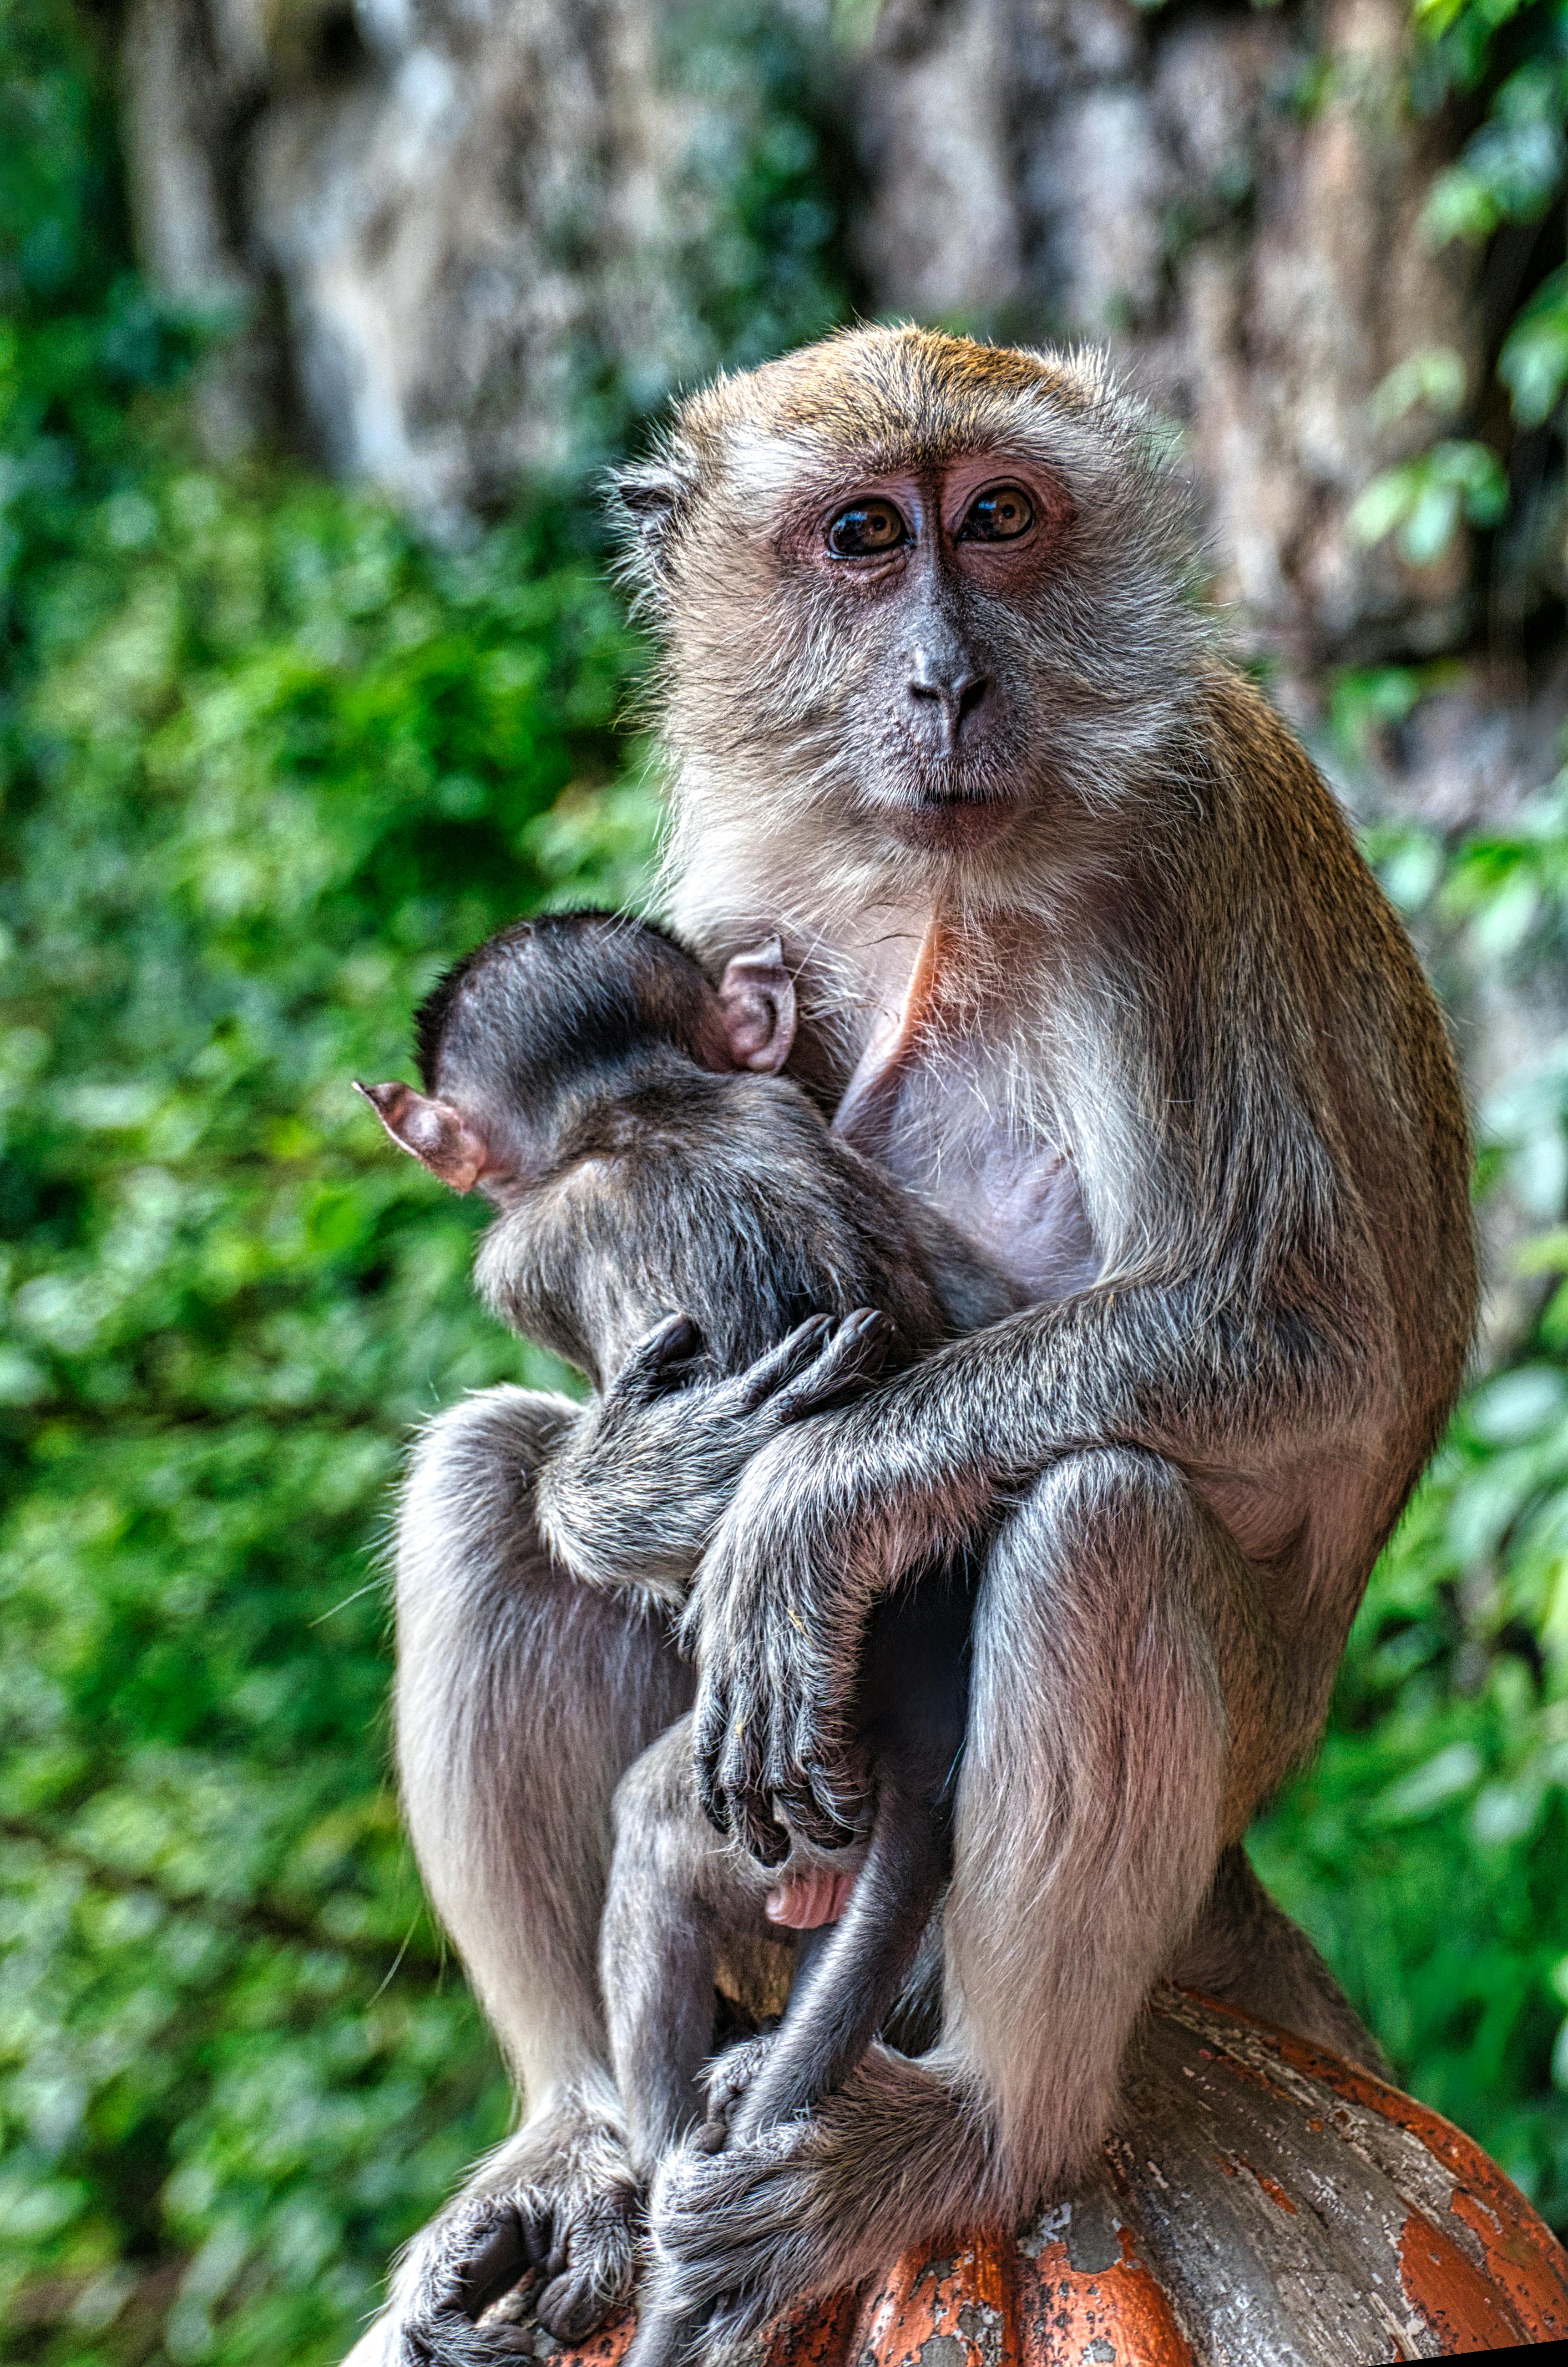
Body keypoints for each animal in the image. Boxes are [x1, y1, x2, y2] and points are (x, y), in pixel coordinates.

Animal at [343, 327, 1473, 2367]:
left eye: (999, 518)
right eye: (866, 537)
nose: (951, 673)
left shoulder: (1183, 847)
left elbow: (1292, 1330)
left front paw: (802, 1507)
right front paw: (651, 1472)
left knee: (1103, 1516)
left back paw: (981, 2128)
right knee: (479, 1472)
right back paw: (581, 2144)